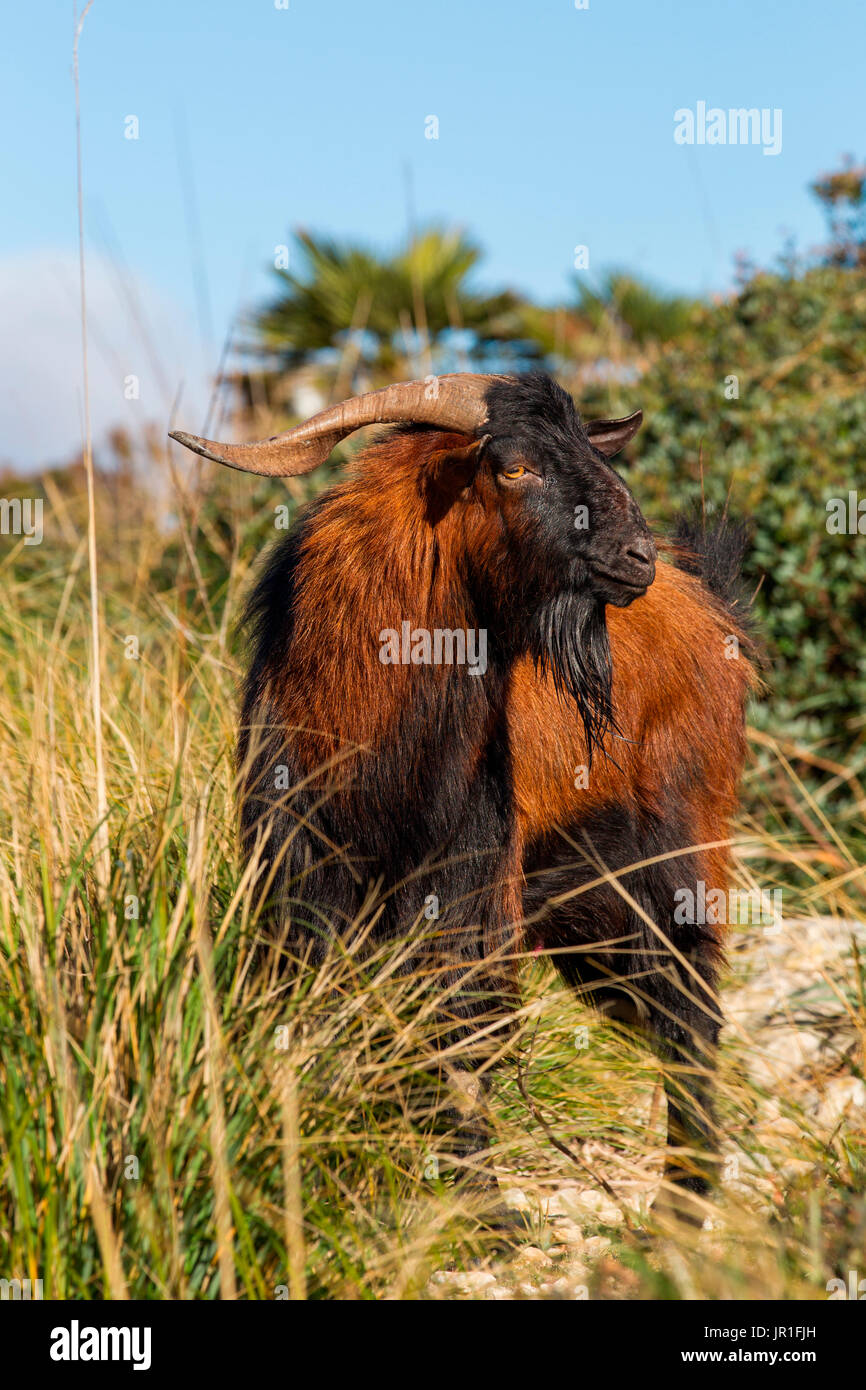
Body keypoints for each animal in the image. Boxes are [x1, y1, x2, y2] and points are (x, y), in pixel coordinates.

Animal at [170, 372, 756, 1220]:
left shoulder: (465, 887)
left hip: (681, 850)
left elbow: (460, 1033)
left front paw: (487, 1215)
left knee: (692, 1012)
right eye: (514, 467)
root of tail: (711, 607)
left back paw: (679, 1208)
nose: (634, 557)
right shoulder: (300, 872)